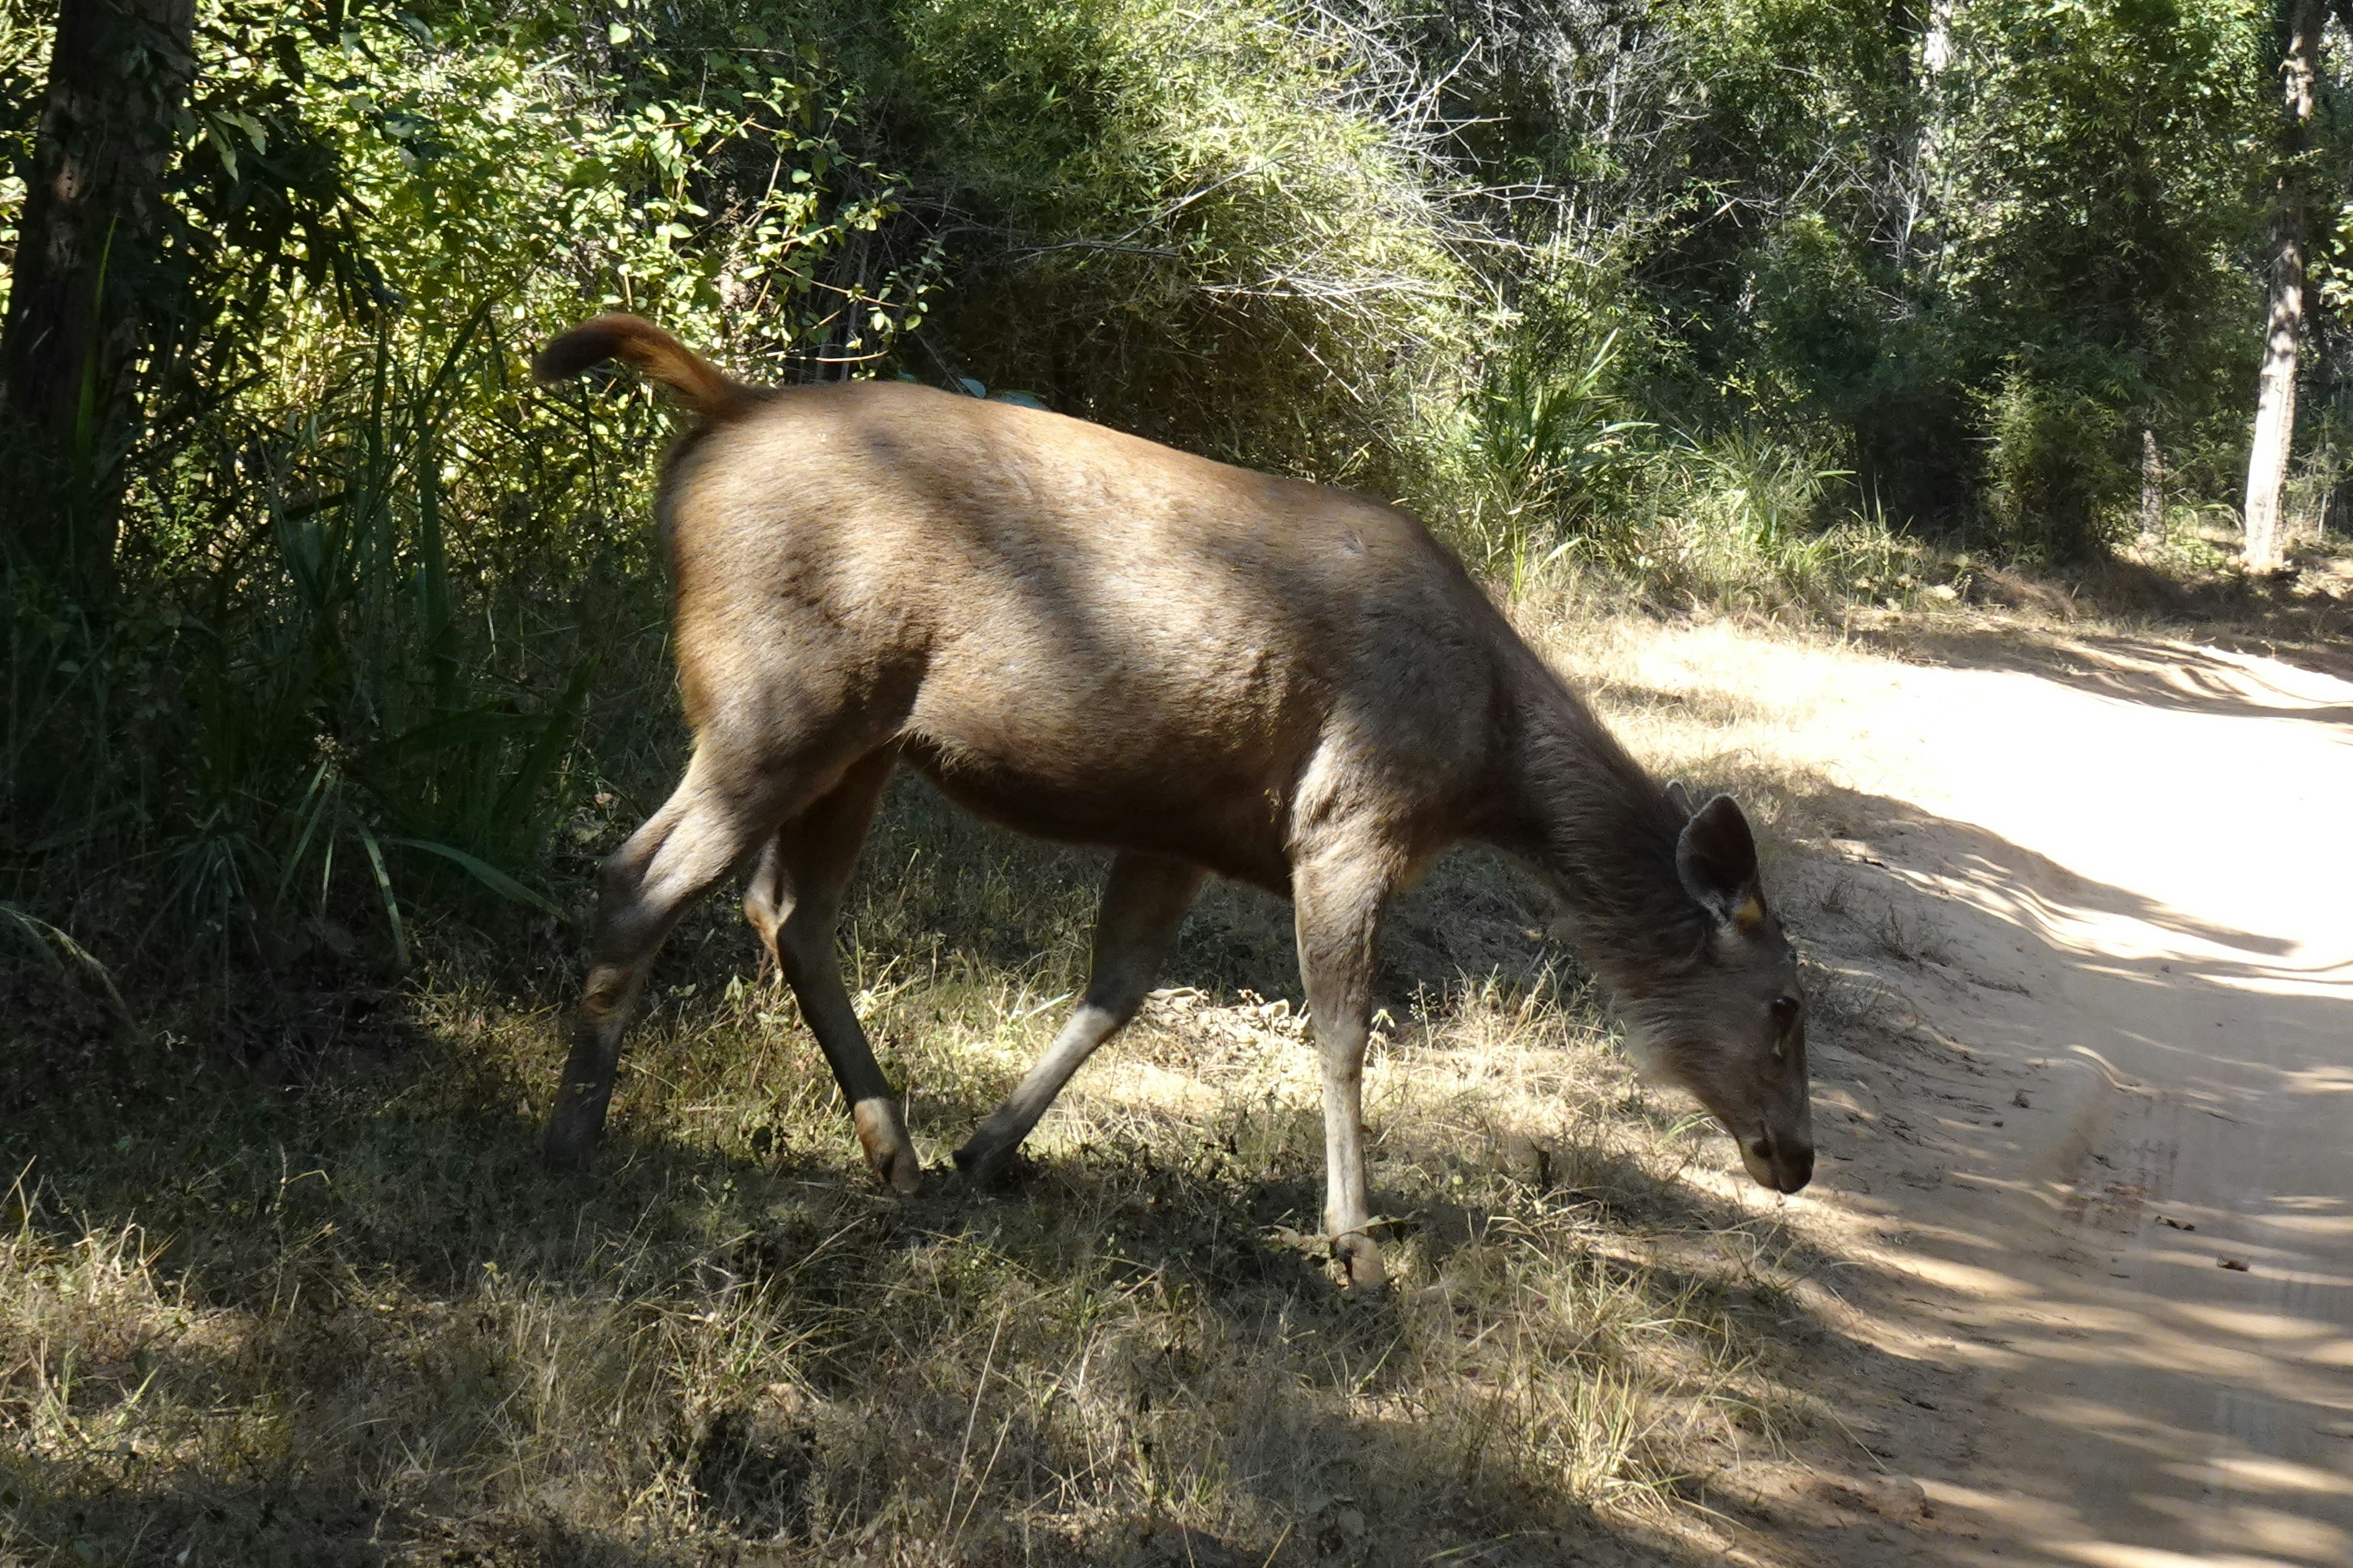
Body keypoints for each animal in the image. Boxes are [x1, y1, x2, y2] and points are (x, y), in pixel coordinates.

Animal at [532, 315, 1813, 1289]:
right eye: (1788, 1005)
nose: (1795, 1159)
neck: (1487, 765)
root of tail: (722, 412)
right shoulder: (1347, 822)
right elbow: (1342, 1032)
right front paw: (1354, 1246)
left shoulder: (1184, 831)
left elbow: (1117, 990)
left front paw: (986, 1150)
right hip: (778, 696)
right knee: (644, 873)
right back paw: (574, 1137)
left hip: (859, 739)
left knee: (788, 908)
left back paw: (890, 1144)